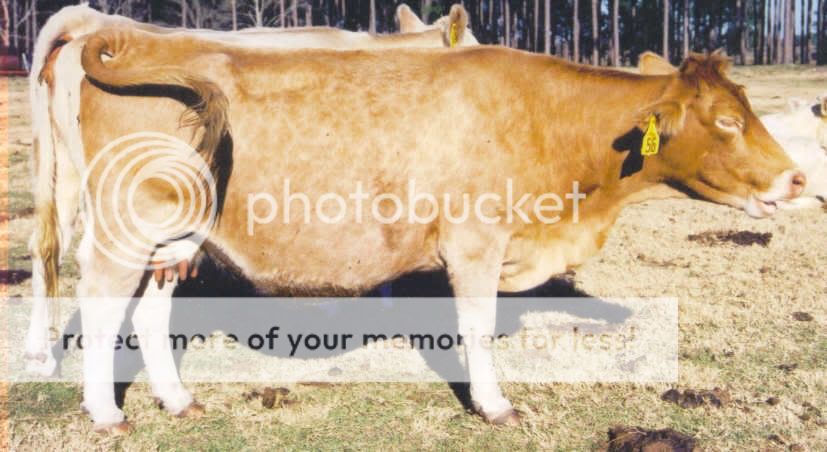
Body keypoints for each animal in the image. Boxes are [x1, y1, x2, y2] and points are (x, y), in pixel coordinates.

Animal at [70, 28, 805, 433]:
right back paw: (107, 414)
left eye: (745, 108)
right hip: (122, 226)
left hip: (174, 242)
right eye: (727, 121)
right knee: (102, 310)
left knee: (150, 314)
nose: (797, 179)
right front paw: (494, 406)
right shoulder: (475, 239)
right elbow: (476, 327)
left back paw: (176, 399)